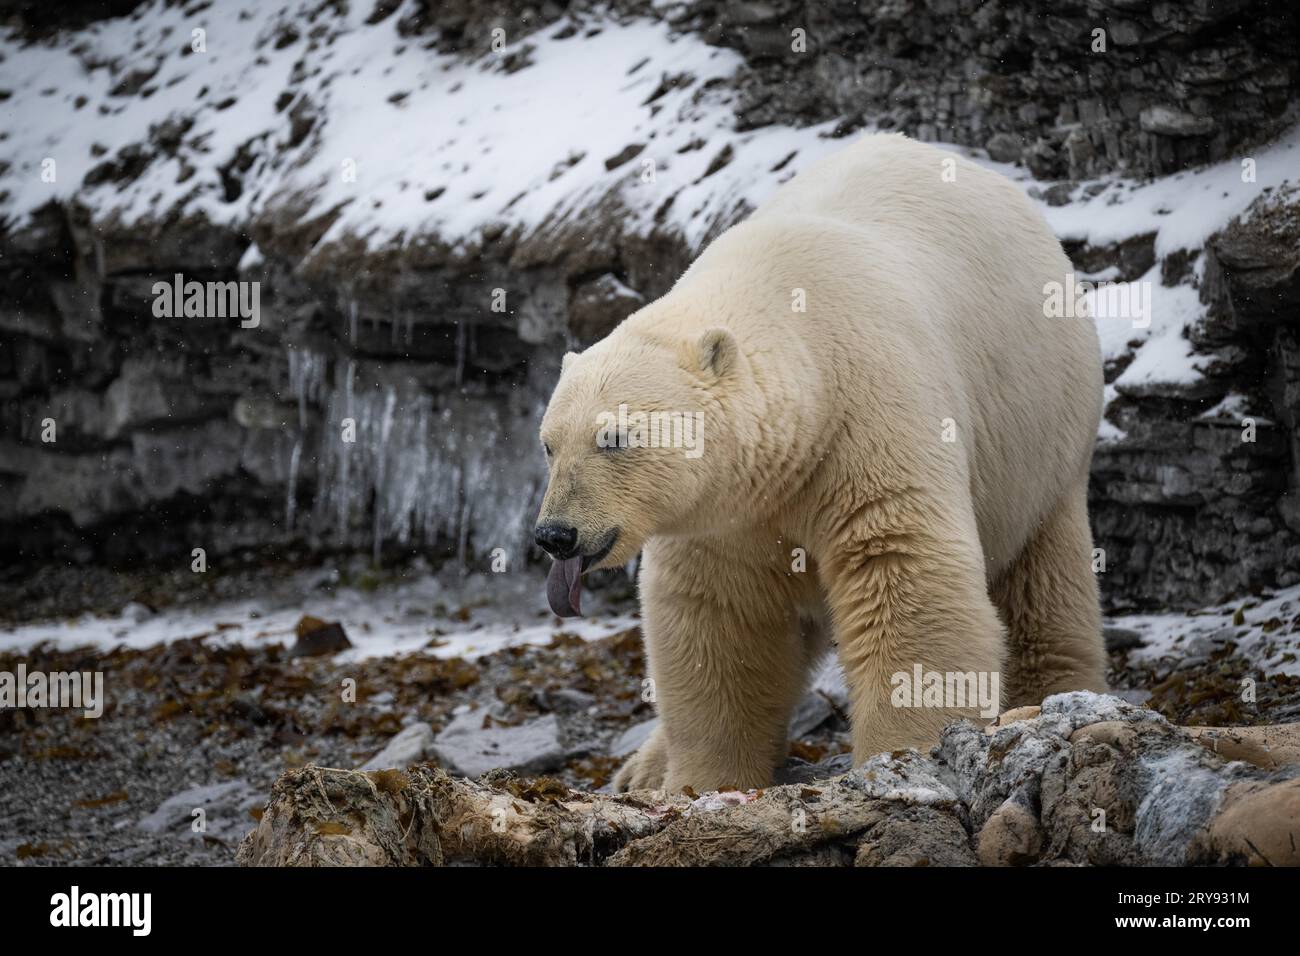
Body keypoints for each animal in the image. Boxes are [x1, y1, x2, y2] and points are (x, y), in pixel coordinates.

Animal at [534, 133, 1108, 794]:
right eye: (549, 443)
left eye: (615, 437)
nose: (555, 534)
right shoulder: (729, 510)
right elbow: (719, 619)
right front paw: (702, 780)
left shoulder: (868, 418)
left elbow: (904, 571)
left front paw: (902, 754)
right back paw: (642, 768)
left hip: (1043, 437)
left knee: (1044, 583)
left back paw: (1046, 697)